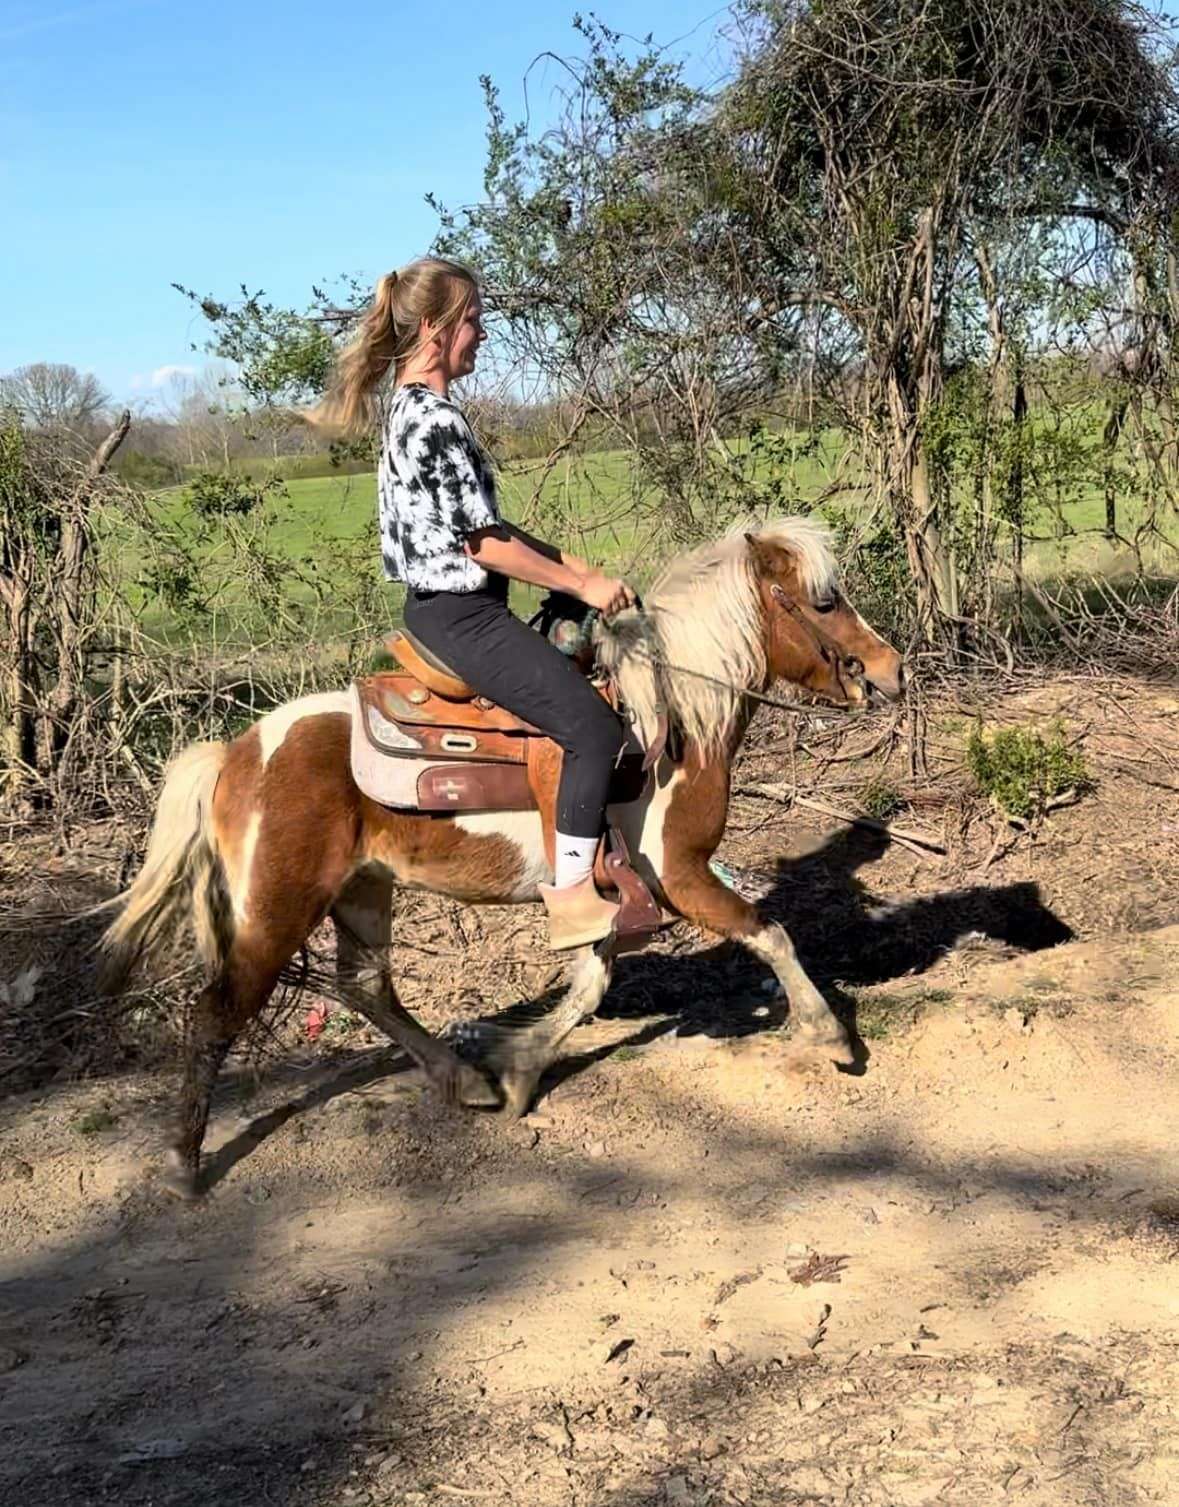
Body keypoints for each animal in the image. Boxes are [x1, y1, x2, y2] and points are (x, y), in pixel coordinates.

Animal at [100, 517, 904, 1197]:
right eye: (825, 600)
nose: (889, 669)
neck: (668, 717)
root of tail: (236, 752)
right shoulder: (678, 876)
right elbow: (770, 934)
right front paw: (831, 1035)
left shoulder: (615, 892)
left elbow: (590, 983)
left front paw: (519, 1070)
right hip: (276, 909)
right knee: (217, 1012)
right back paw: (184, 1164)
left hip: (362, 889)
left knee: (366, 986)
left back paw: (464, 1079)